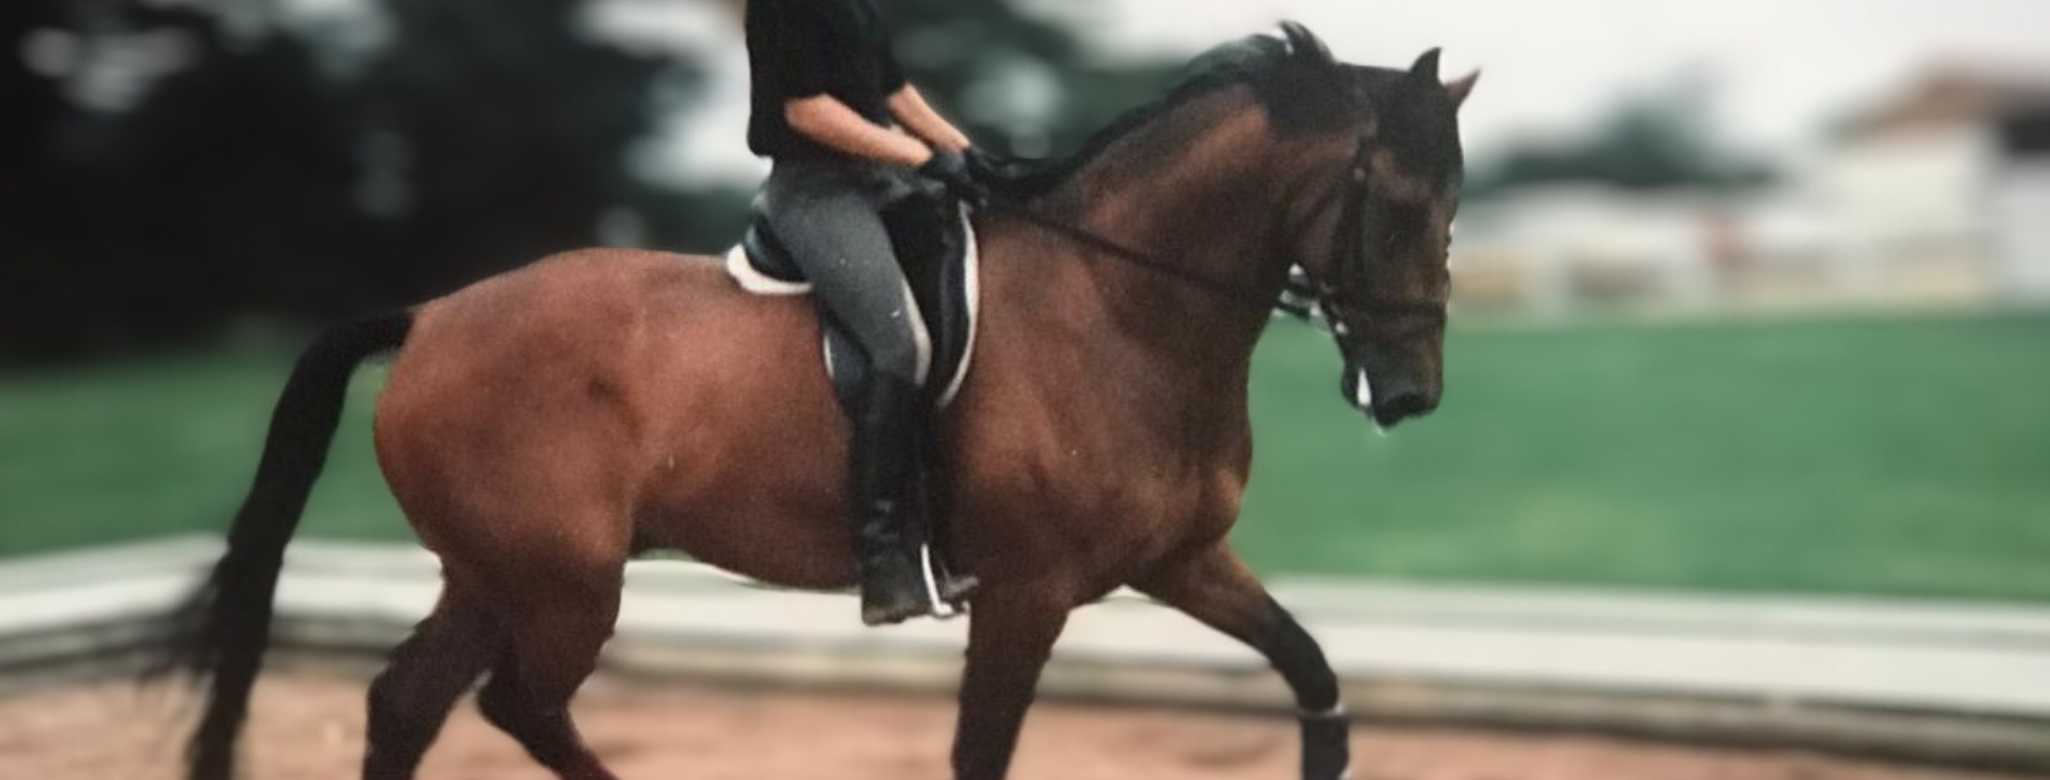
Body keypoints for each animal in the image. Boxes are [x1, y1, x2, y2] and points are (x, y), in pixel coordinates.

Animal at [164, 23, 1476, 780]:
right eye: (1398, 201)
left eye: (1453, 208)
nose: (1411, 395)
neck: (1120, 304)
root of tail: (430, 317)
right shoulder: (1029, 593)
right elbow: (980, 751)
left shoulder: (1181, 560)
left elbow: (1308, 669)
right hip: (560, 584)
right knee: (516, 707)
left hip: (493, 576)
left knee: (408, 707)